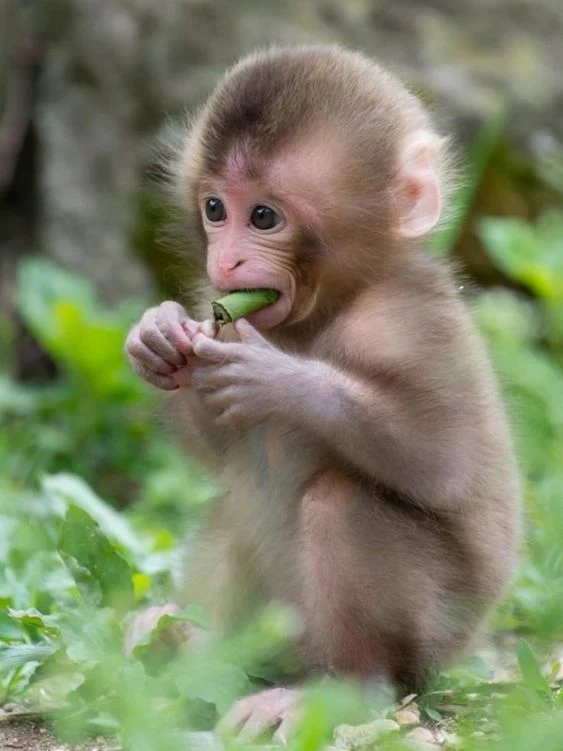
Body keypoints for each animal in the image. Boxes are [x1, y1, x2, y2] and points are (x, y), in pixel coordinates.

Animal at [125, 44, 521, 738]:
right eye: (214, 209)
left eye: (264, 216)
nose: (225, 262)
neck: (332, 303)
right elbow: (218, 444)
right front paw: (160, 335)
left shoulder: (408, 320)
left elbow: (442, 457)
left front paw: (279, 378)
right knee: (236, 506)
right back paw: (188, 645)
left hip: (435, 638)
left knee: (341, 502)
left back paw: (344, 691)